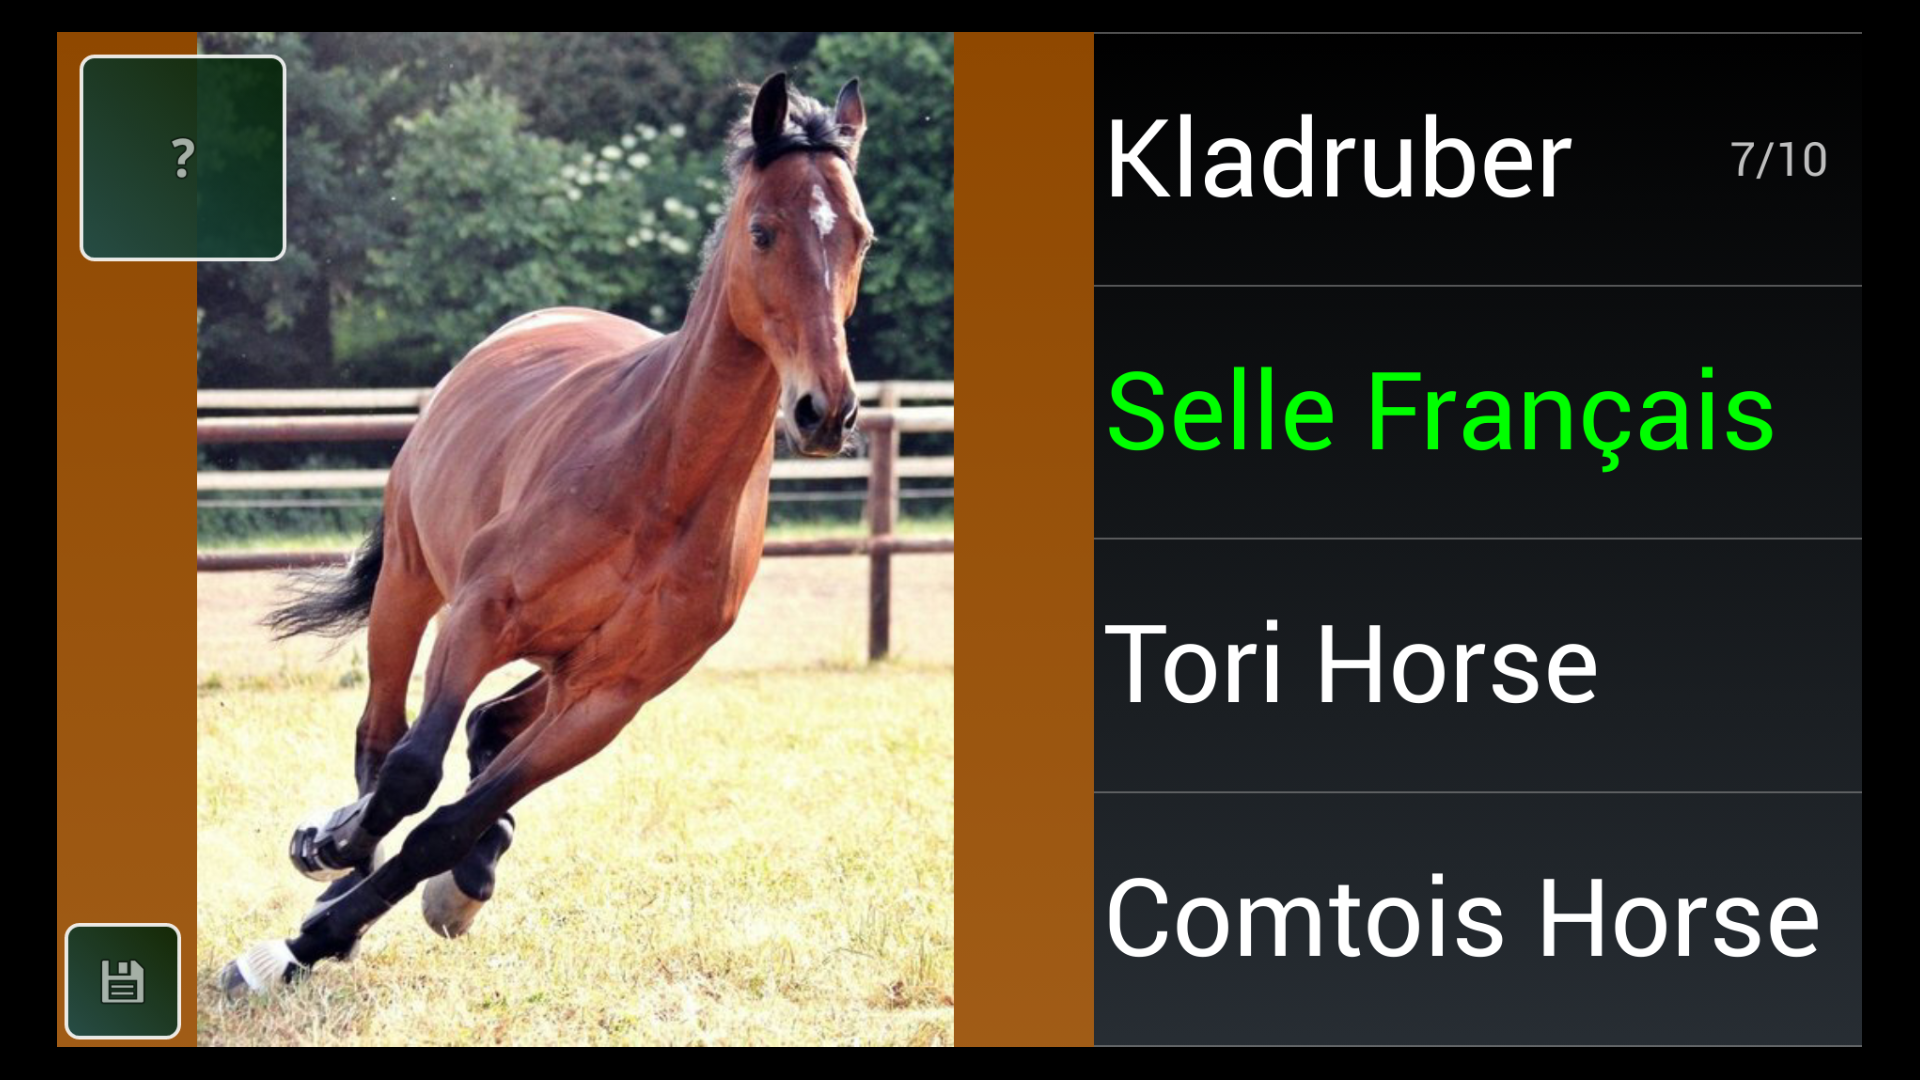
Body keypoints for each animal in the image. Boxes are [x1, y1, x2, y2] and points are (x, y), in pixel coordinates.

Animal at [218, 73, 875, 996]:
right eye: (763, 231)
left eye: (860, 237)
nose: (826, 411)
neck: (661, 482)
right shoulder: (478, 617)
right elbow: (412, 772)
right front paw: (324, 861)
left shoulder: (609, 698)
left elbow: (450, 821)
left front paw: (317, 936)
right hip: (409, 587)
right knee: (384, 737)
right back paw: (335, 850)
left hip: (558, 666)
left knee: (488, 731)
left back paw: (437, 882)